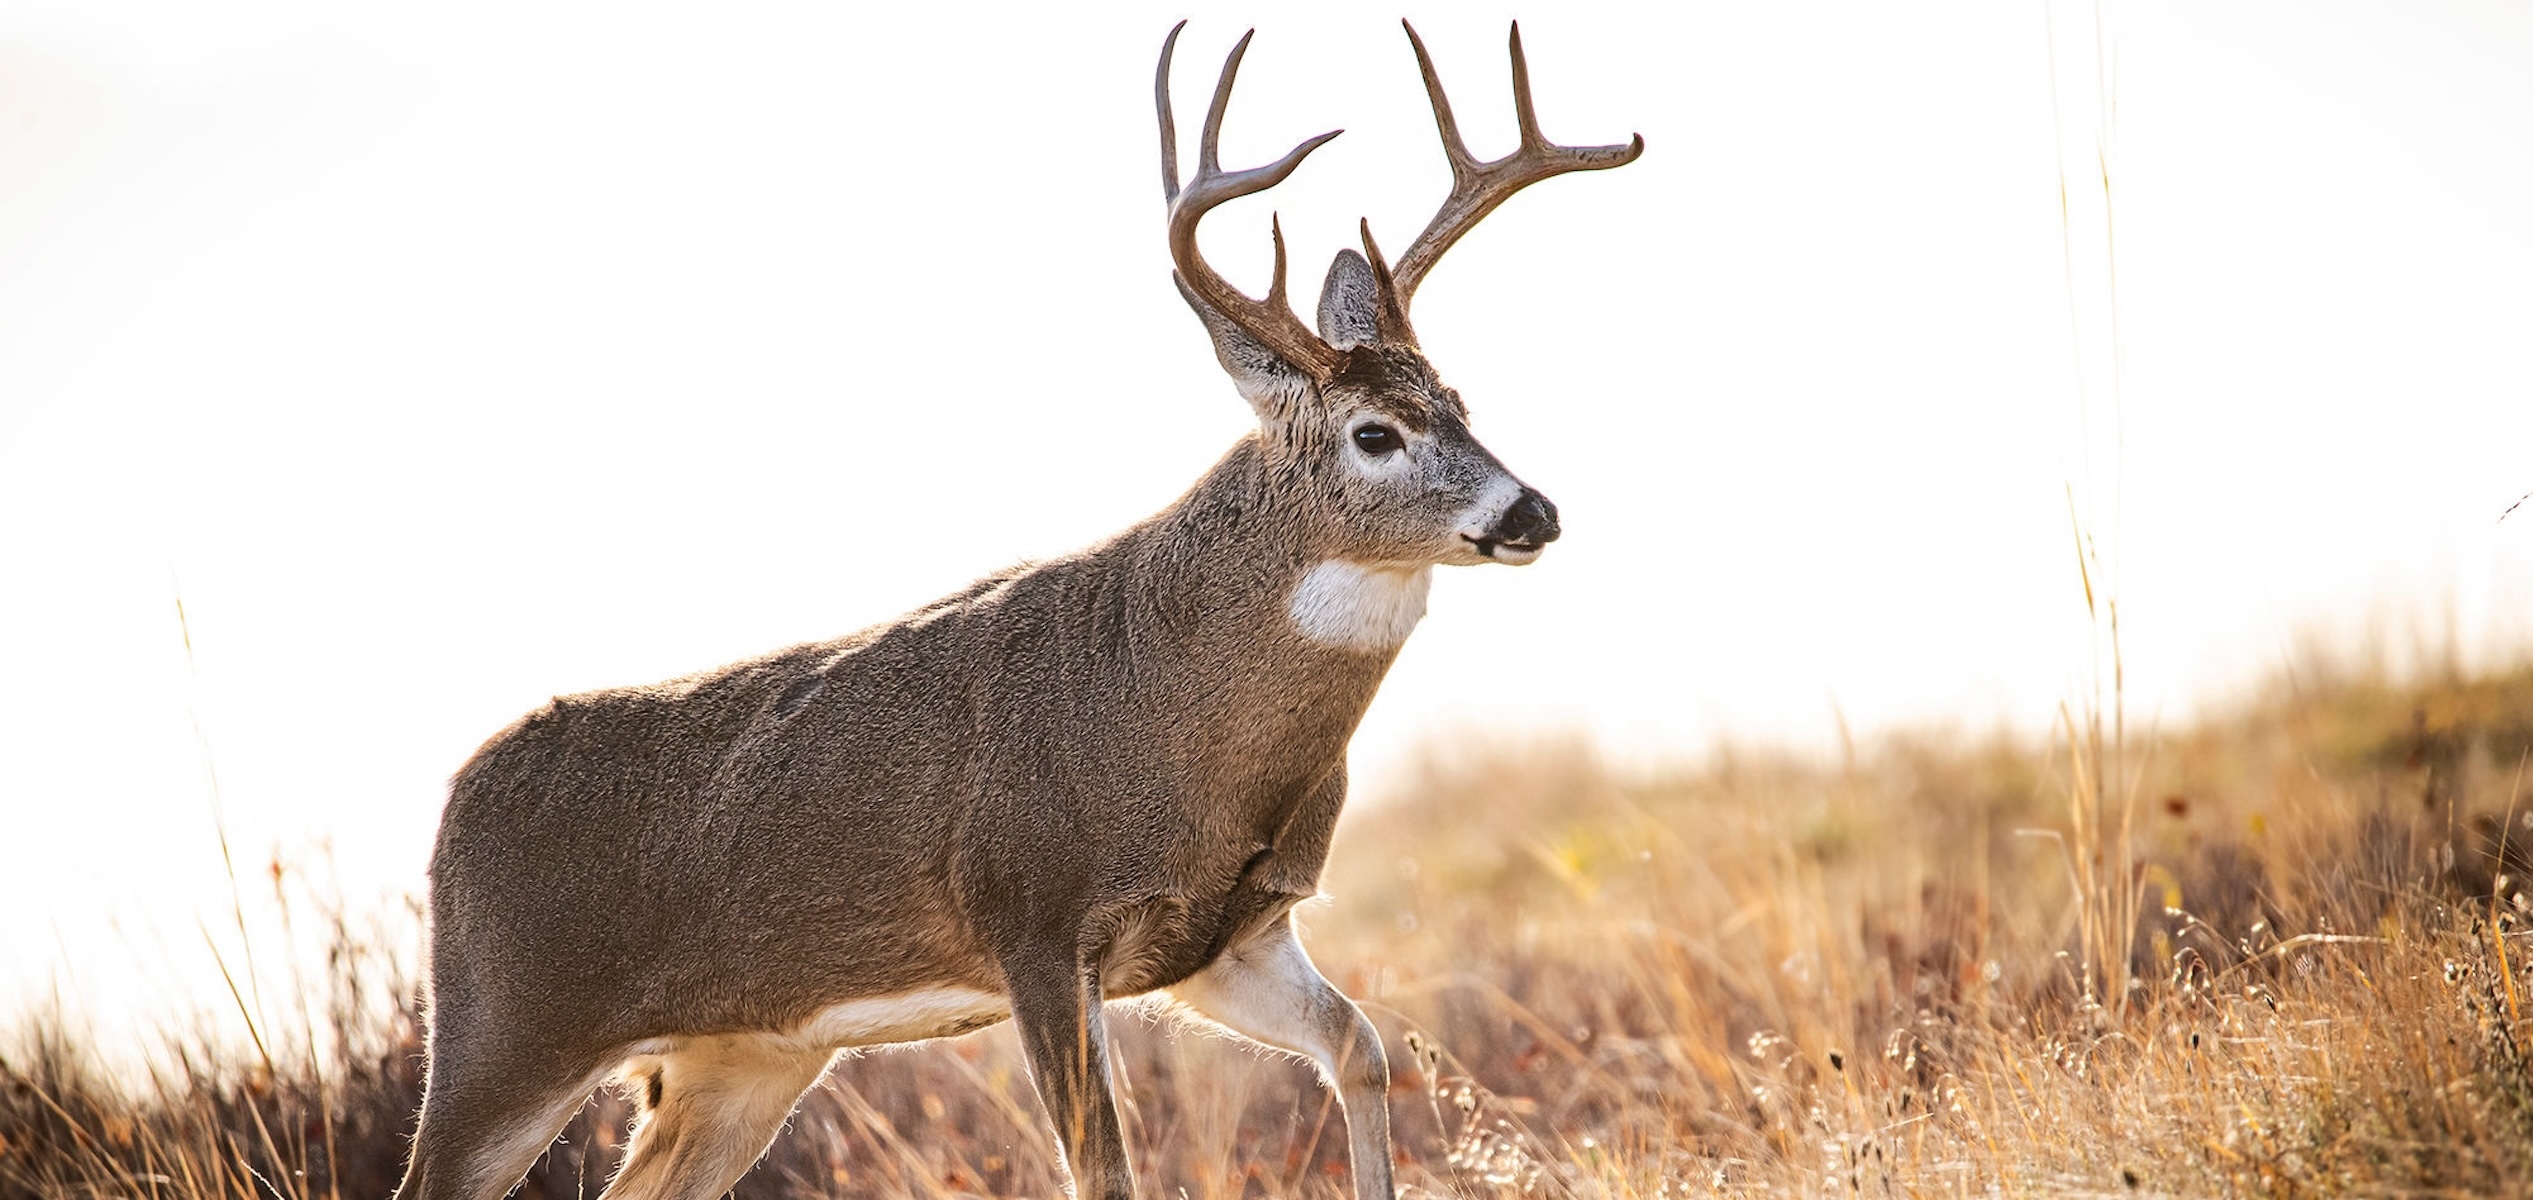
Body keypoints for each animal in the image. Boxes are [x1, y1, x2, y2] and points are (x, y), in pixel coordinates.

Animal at [393, 20, 1638, 1200]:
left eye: (1463, 402)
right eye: (1375, 434)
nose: (1531, 509)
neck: (1177, 718)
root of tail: (455, 806)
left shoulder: (1231, 939)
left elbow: (1365, 1051)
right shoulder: (1032, 918)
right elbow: (1105, 1166)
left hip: (742, 1058)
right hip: (504, 1032)